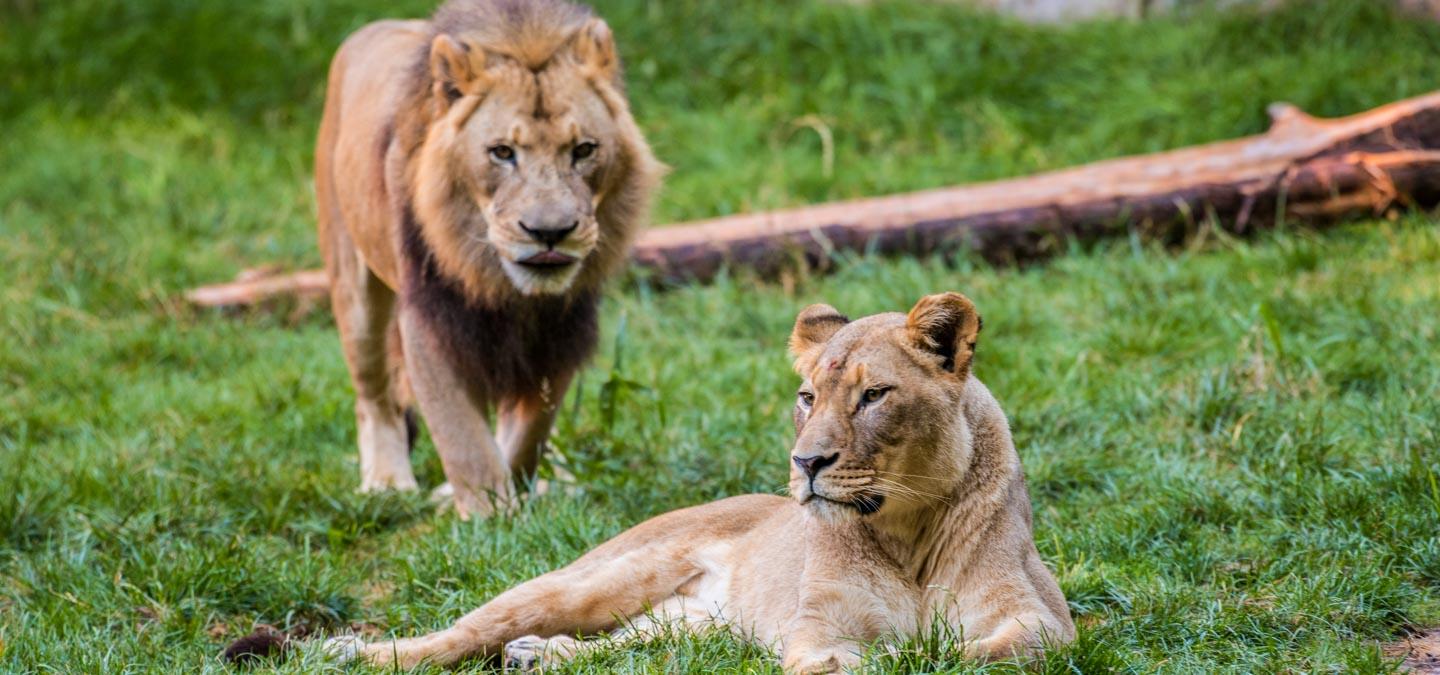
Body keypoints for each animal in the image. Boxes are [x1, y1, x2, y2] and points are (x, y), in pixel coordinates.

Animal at [242, 292, 1075, 672]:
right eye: (808, 395)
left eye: (873, 396)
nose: (806, 463)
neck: (905, 530)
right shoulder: (817, 626)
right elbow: (838, 658)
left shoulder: (1043, 619)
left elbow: (993, 650)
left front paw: (923, 652)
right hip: (585, 577)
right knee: (457, 634)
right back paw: (341, 651)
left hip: (692, 627)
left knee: (627, 649)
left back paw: (541, 655)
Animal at [315, 0, 661, 518]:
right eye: (502, 152)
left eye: (583, 150)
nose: (549, 232)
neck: (502, 284)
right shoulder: (432, 319)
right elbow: (462, 436)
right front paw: (489, 516)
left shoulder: (560, 327)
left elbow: (529, 430)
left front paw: (510, 494)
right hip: (355, 286)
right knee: (372, 393)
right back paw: (387, 482)